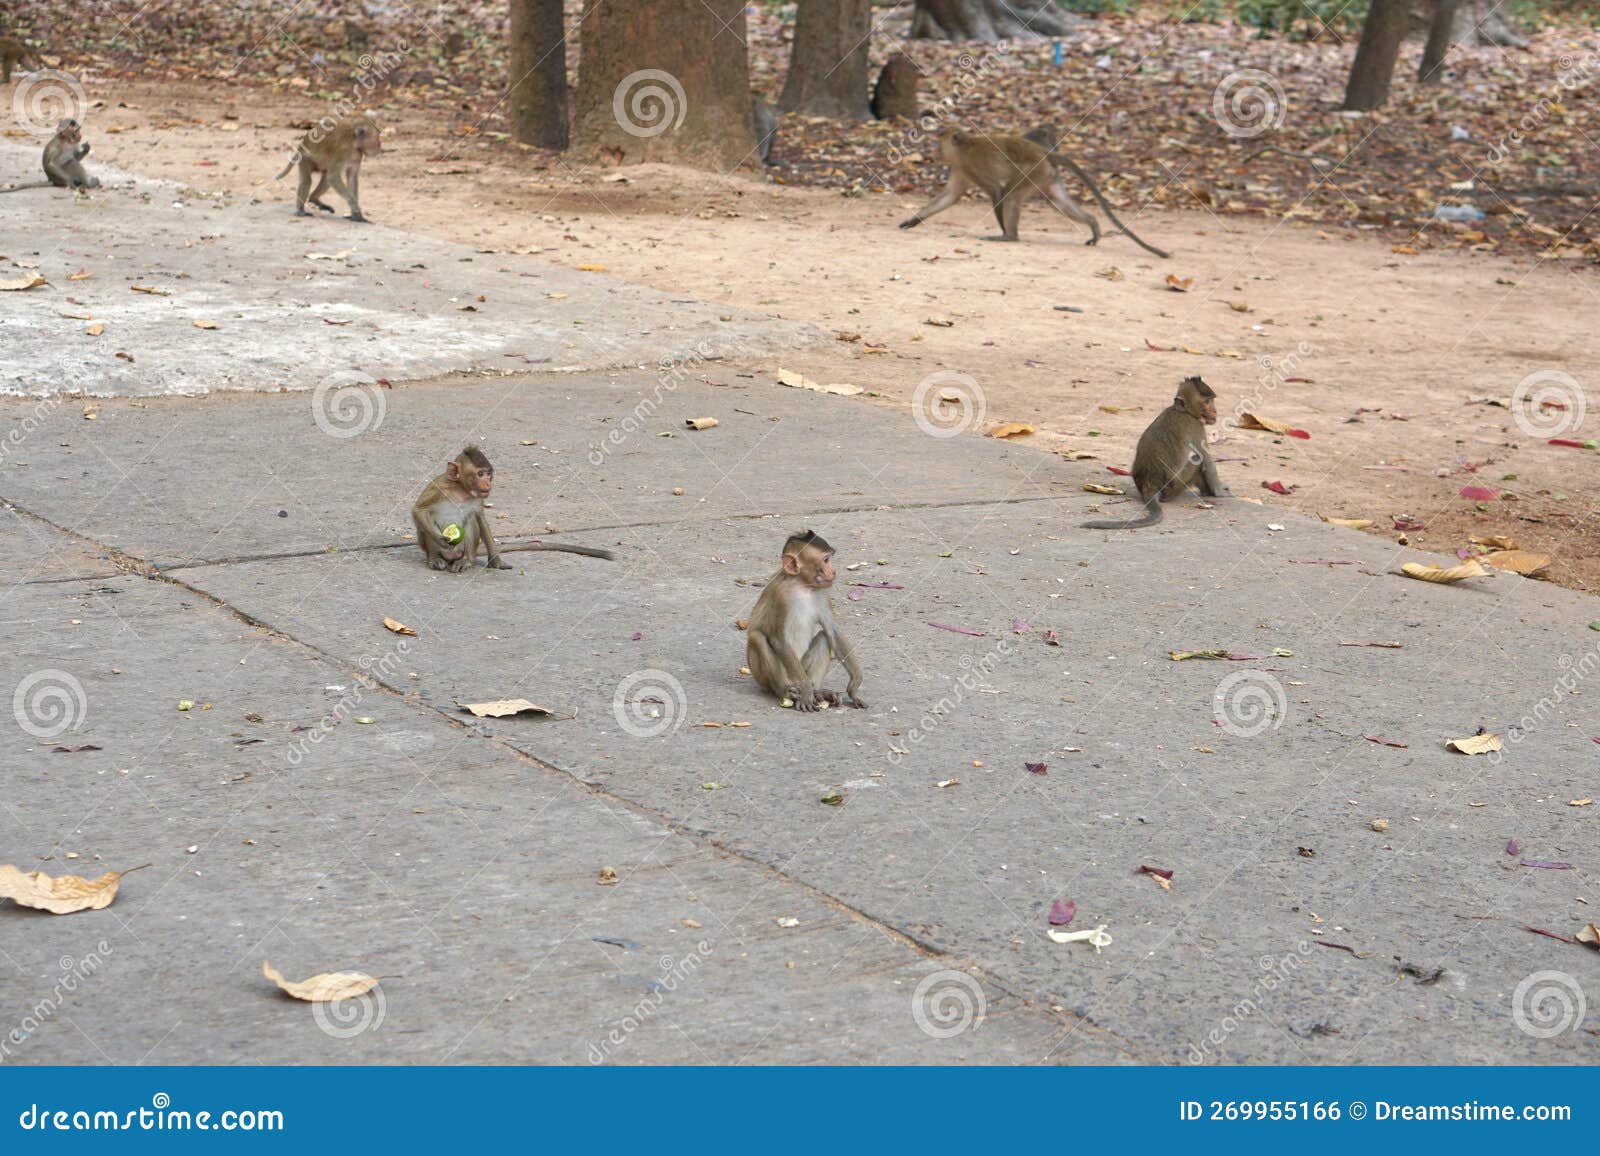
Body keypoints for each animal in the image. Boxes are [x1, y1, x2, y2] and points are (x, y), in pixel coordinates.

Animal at [411, 446, 615, 572]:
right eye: (480, 473)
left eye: (488, 474)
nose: (488, 483)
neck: (461, 491)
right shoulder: (438, 488)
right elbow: (419, 511)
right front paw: (441, 539)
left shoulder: (477, 499)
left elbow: (480, 518)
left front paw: (497, 562)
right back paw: (435, 559)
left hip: (465, 549)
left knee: (471, 520)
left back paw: (466, 561)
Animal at [744, 530, 866, 712]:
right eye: (826, 560)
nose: (833, 571)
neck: (801, 586)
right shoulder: (781, 597)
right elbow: (779, 640)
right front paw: (807, 692)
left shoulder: (822, 594)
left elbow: (832, 632)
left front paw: (854, 687)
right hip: (772, 677)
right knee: (757, 638)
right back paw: (785, 690)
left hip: (803, 665)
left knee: (823, 637)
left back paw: (818, 691)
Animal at [1081, 376, 1228, 530]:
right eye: (1206, 402)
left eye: (1212, 400)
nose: (1215, 411)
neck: (1184, 412)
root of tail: (1148, 485)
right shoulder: (1196, 426)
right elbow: (1206, 460)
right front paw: (1220, 492)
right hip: (1173, 487)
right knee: (1196, 459)